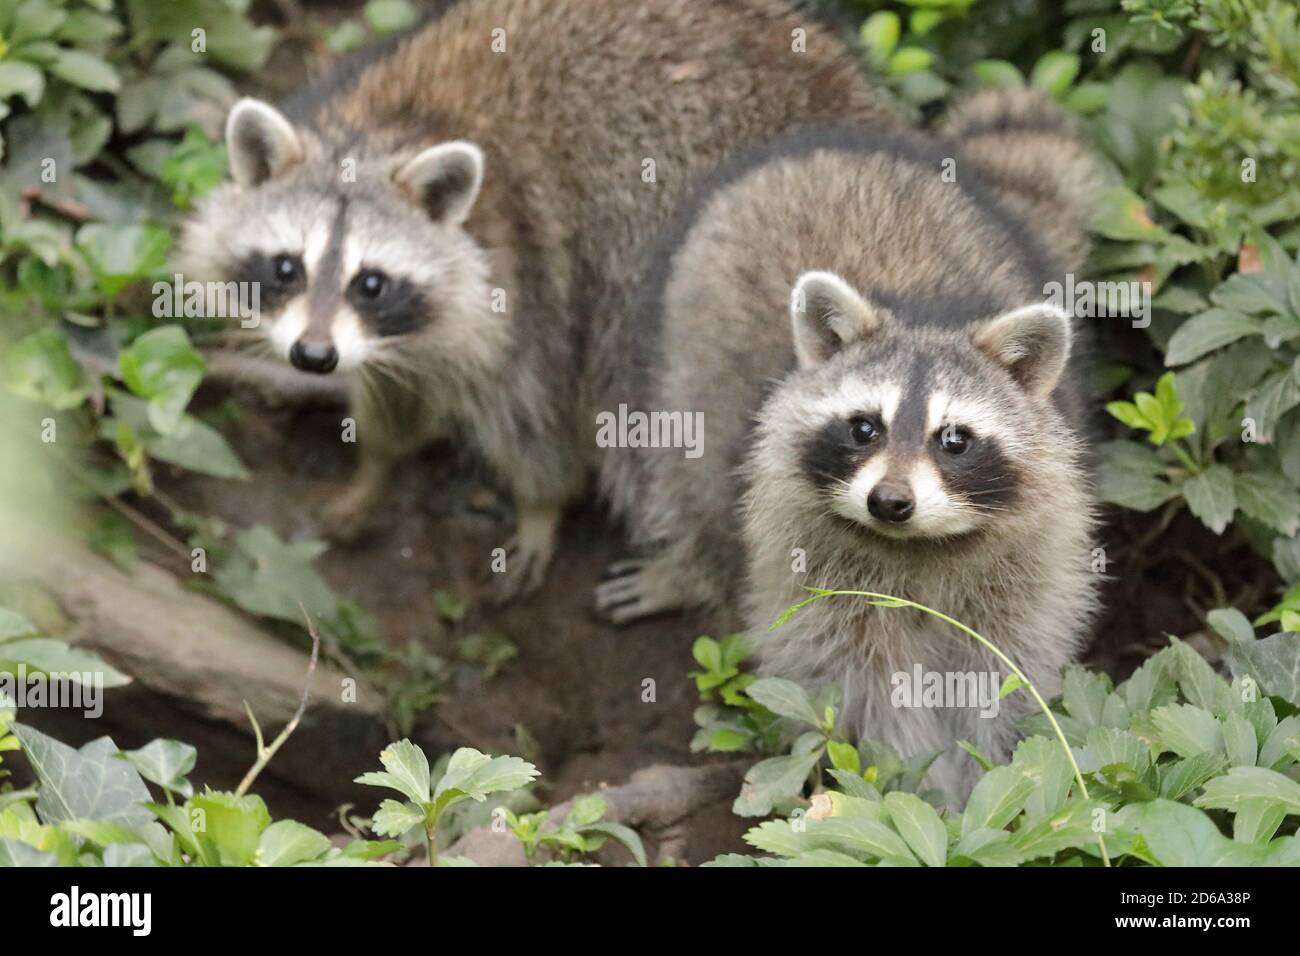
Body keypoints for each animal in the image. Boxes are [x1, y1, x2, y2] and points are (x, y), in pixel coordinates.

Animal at [176, 0, 894, 598]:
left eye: (370, 282)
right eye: (285, 268)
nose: (313, 358)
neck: (394, 127)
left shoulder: (534, 273)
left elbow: (533, 412)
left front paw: (540, 510)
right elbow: (397, 390)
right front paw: (374, 469)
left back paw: (691, 574)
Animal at [595, 92, 1099, 799]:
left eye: (954, 439)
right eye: (865, 428)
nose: (890, 502)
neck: (916, 548)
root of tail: (826, 146)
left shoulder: (1032, 556)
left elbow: (1001, 671)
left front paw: (988, 777)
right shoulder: (811, 565)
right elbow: (863, 684)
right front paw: (914, 785)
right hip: (681, 357)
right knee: (694, 489)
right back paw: (688, 569)